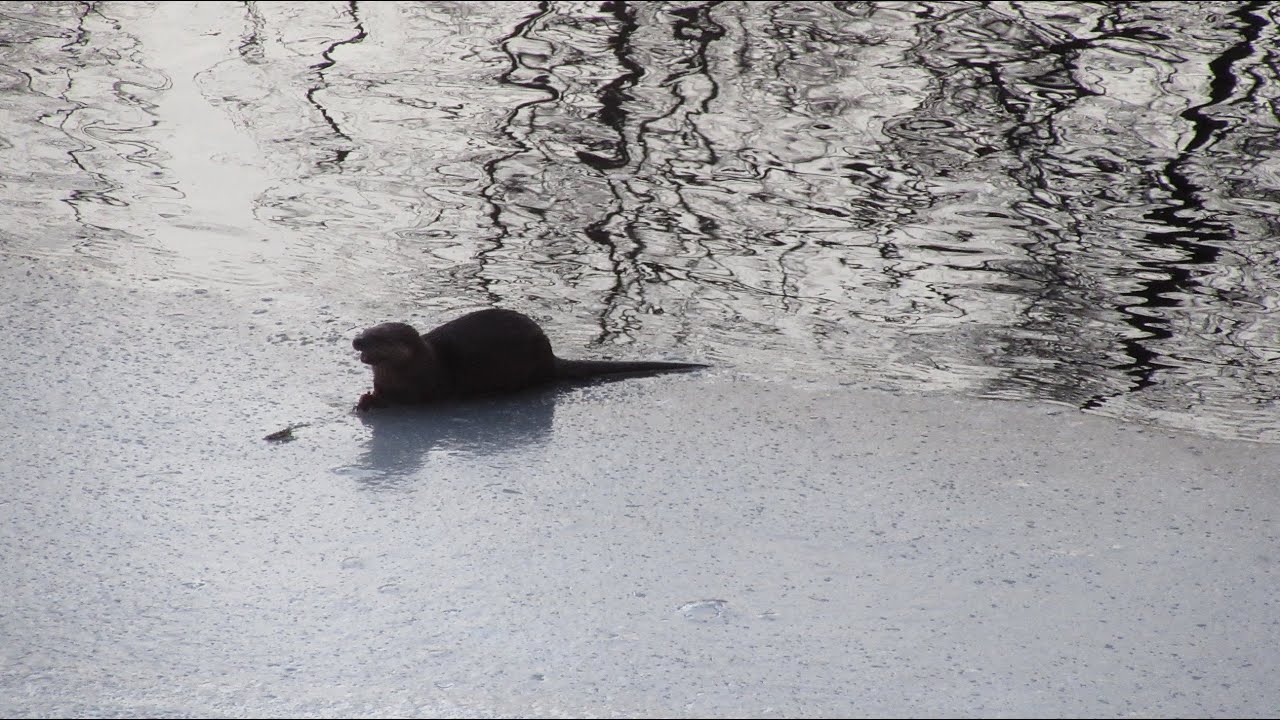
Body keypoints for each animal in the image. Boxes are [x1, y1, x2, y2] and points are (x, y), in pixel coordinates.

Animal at [353, 308, 707, 411]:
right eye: (365, 330)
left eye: (378, 338)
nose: (356, 341)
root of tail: (550, 357)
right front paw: (365, 397)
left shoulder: (424, 386)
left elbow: (408, 401)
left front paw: (372, 402)